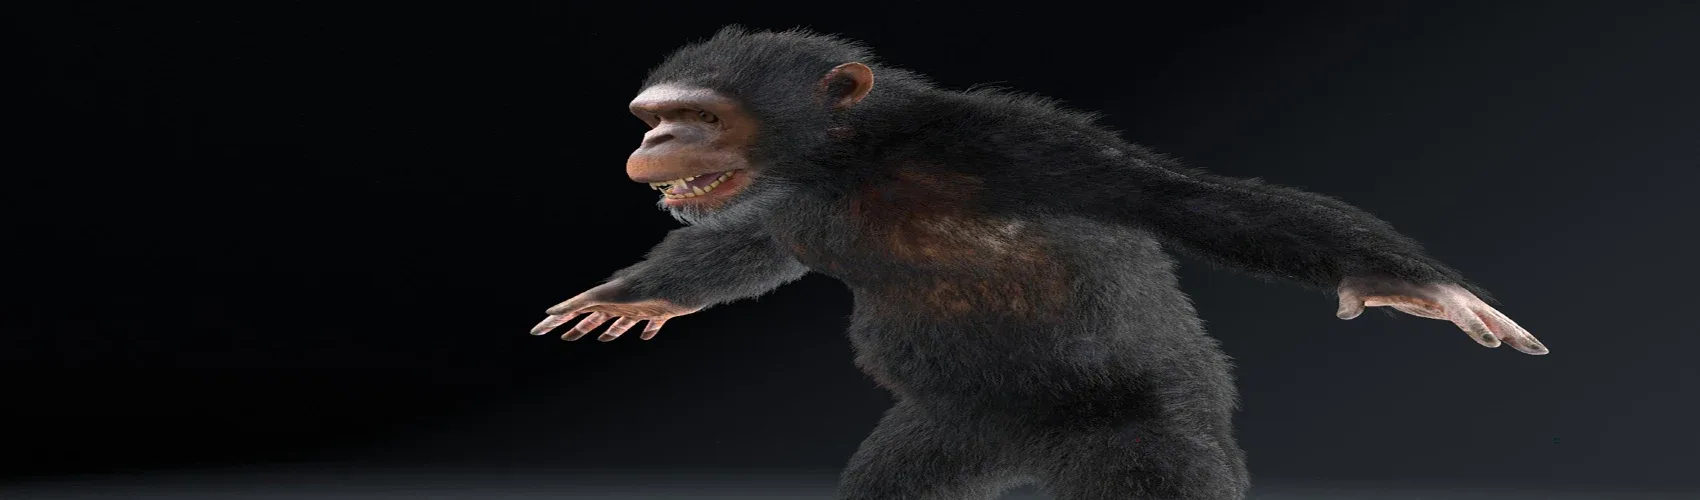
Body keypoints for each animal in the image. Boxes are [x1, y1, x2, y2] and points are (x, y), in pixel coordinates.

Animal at [527, 26, 1547, 500]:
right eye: (656, 115)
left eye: (696, 116)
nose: (651, 140)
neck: (855, 162)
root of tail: (1032, 444)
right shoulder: (782, 207)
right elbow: (747, 249)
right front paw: (637, 294)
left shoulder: (1014, 145)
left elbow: (1186, 202)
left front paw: (1413, 284)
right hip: (950, 431)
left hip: (1151, 440)